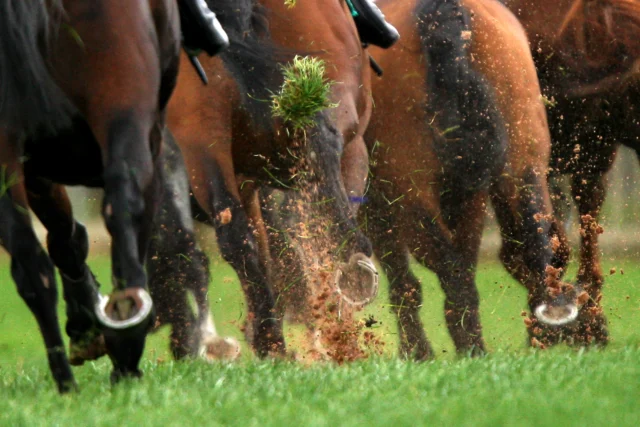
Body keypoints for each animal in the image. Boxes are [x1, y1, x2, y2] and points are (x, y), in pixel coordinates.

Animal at [342, 0, 570, 358]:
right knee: (536, 245)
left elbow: (402, 278)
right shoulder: (471, 196)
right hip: (525, 167)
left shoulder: (378, 204)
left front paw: (416, 351)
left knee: (448, 271)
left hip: (410, 193)